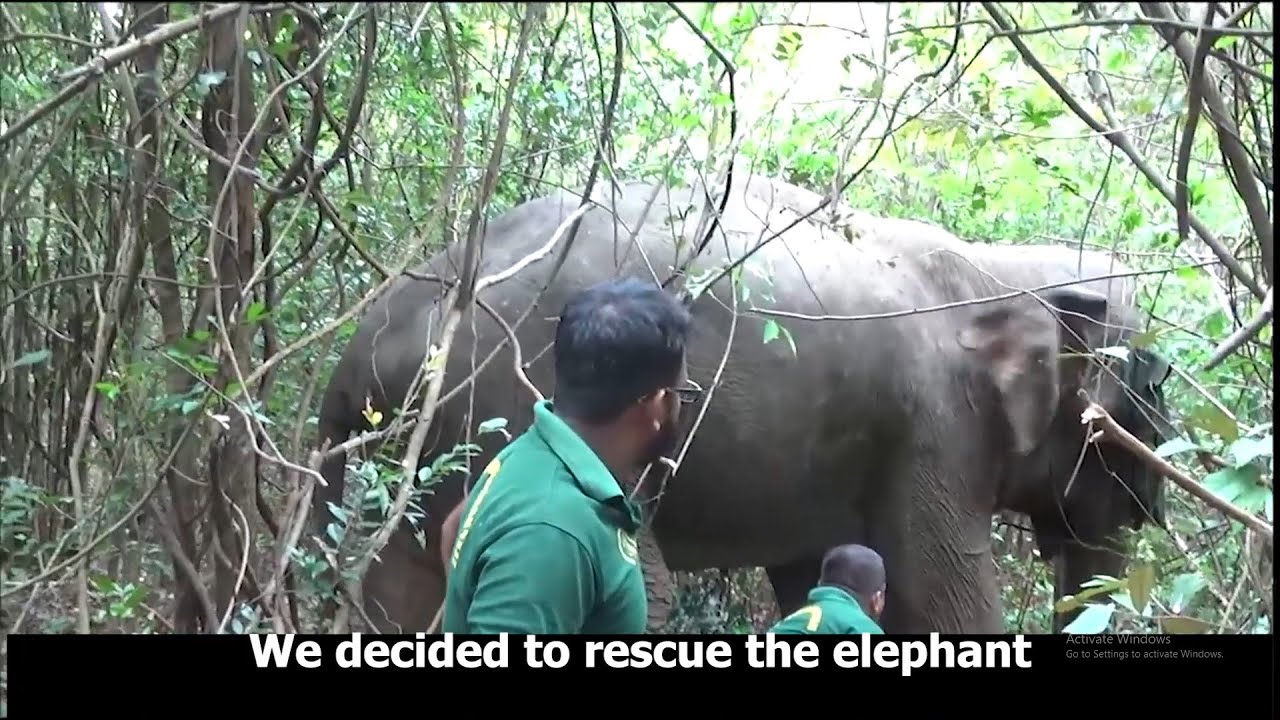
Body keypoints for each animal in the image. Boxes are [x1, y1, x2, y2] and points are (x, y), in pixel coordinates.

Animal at [311, 172, 1173, 635]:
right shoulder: (934, 423)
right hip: (496, 403)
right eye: (1155, 382)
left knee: (398, 585)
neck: (996, 268)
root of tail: (366, 339)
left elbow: (816, 578)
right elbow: (942, 601)